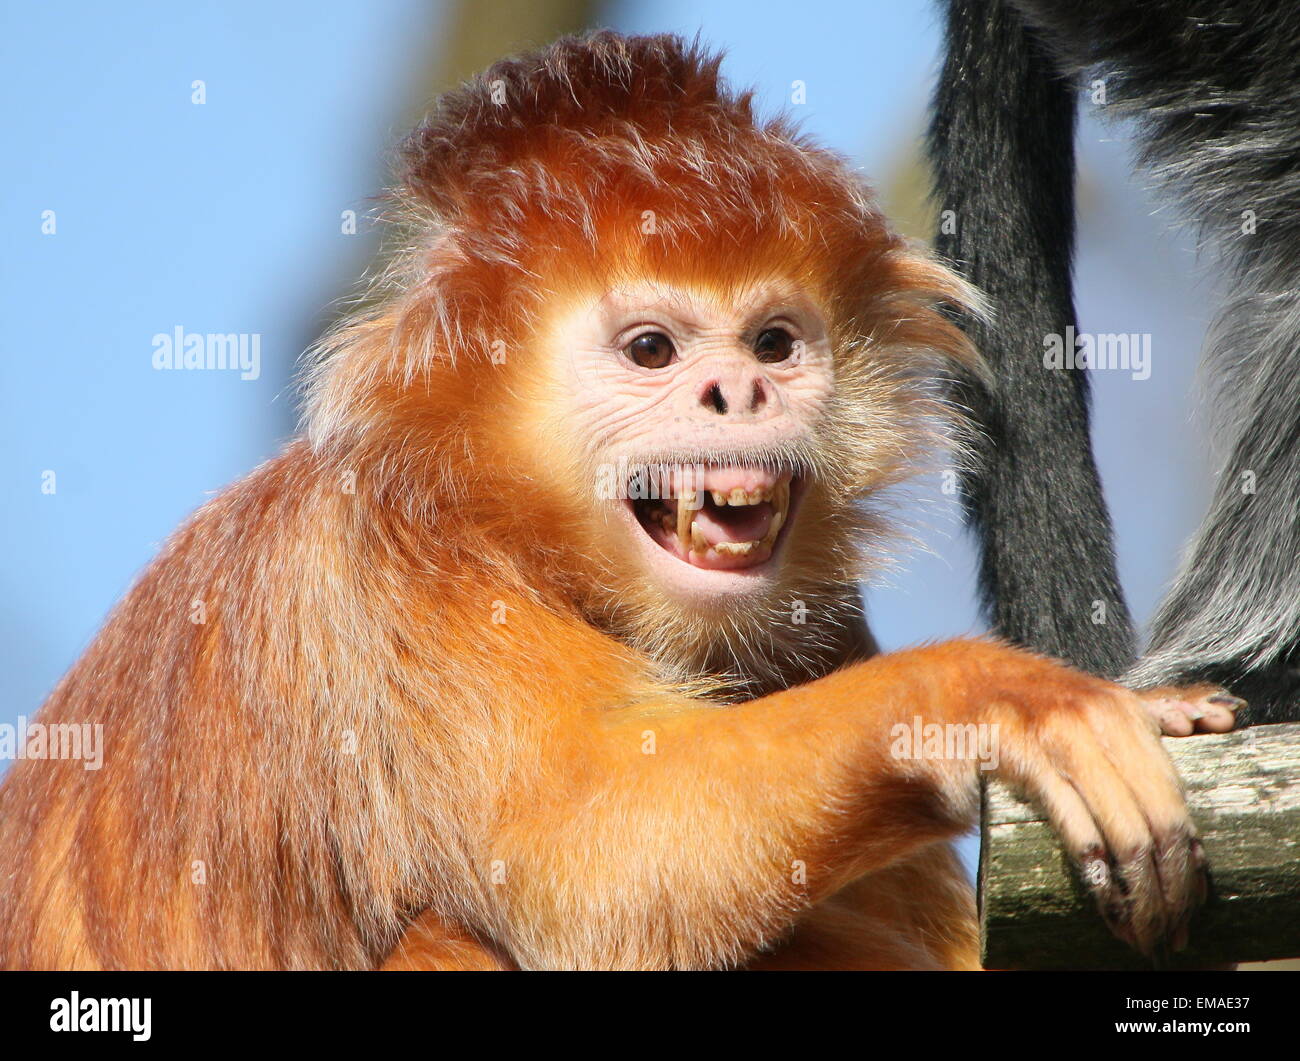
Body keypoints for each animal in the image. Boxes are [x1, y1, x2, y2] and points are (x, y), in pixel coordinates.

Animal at [0, 32, 1222, 971]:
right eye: (652, 350)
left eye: (773, 343)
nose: (739, 390)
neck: (503, 523)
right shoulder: (380, 579)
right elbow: (597, 864)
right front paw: (990, 695)